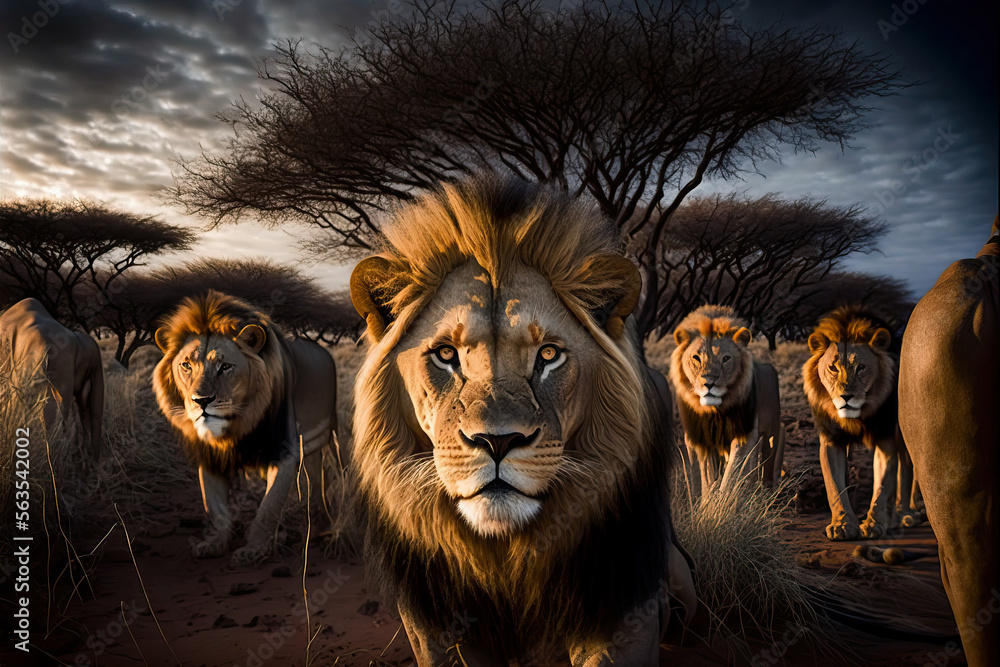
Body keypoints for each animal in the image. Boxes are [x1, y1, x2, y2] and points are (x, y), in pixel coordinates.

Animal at [152, 291, 339, 567]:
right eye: (186, 365)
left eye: (225, 366)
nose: (201, 401)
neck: (237, 426)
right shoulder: (209, 457)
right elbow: (215, 507)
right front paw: (214, 544)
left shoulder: (283, 451)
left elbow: (268, 508)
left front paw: (254, 549)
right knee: (315, 479)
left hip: (333, 431)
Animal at [350, 176, 697, 666]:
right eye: (445, 354)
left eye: (548, 354)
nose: (497, 442)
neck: (505, 556)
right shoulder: (433, 628)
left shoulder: (623, 609)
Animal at [669, 305, 785, 495]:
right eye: (696, 357)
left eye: (726, 358)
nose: (709, 383)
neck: (715, 411)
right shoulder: (698, 437)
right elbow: (705, 475)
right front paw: (707, 499)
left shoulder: (744, 433)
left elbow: (732, 474)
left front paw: (723, 497)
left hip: (772, 429)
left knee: (768, 457)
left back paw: (767, 490)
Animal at [802, 305, 913, 541]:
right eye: (833, 368)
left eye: (861, 367)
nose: (846, 397)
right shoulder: (831, 439)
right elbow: (835, 486)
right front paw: (842, 524)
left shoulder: (885, 437)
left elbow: (882, 485)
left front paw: (873, 524)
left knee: (906, 468)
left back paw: (904, 514)